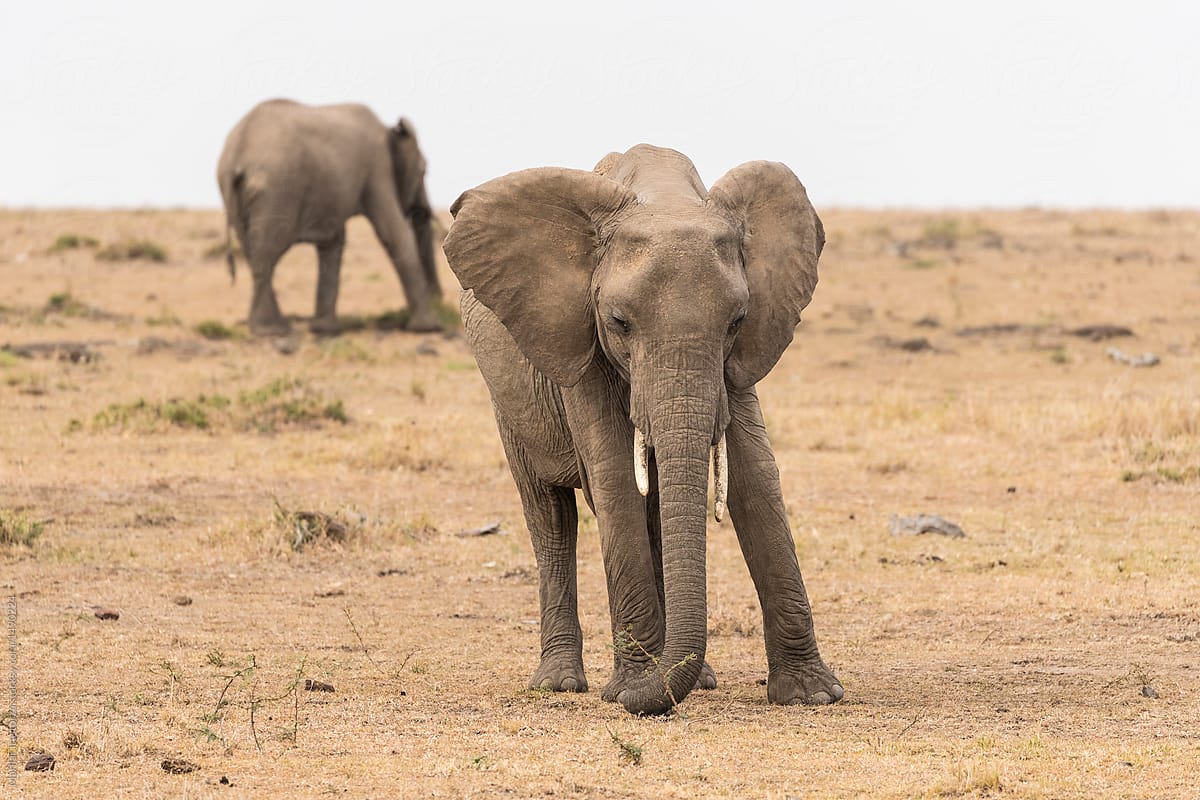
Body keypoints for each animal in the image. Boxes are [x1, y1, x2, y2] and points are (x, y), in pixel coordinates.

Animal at [216, 99, 442, 335]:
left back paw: (278, 325)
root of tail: (237, 153)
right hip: (276, 188)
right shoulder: (377, 167)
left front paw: (325, 330)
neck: (389, 130)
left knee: (252, 250)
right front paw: (428, 329)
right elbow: (394, 232)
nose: (439, 298)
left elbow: (333, 241)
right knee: (267, 251)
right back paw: (271, 330)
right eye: (424, 171)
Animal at [444, 144, 843, 715]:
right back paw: (560, 683)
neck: (663, 196)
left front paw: (812, 695)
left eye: (737, 321)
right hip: (508, 399)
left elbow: (755, 475)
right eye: (618, 323)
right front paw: (631, 690)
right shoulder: (579, 340)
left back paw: (693, 677)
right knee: (550, 515)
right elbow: (613, 474)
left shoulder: (740, 361)